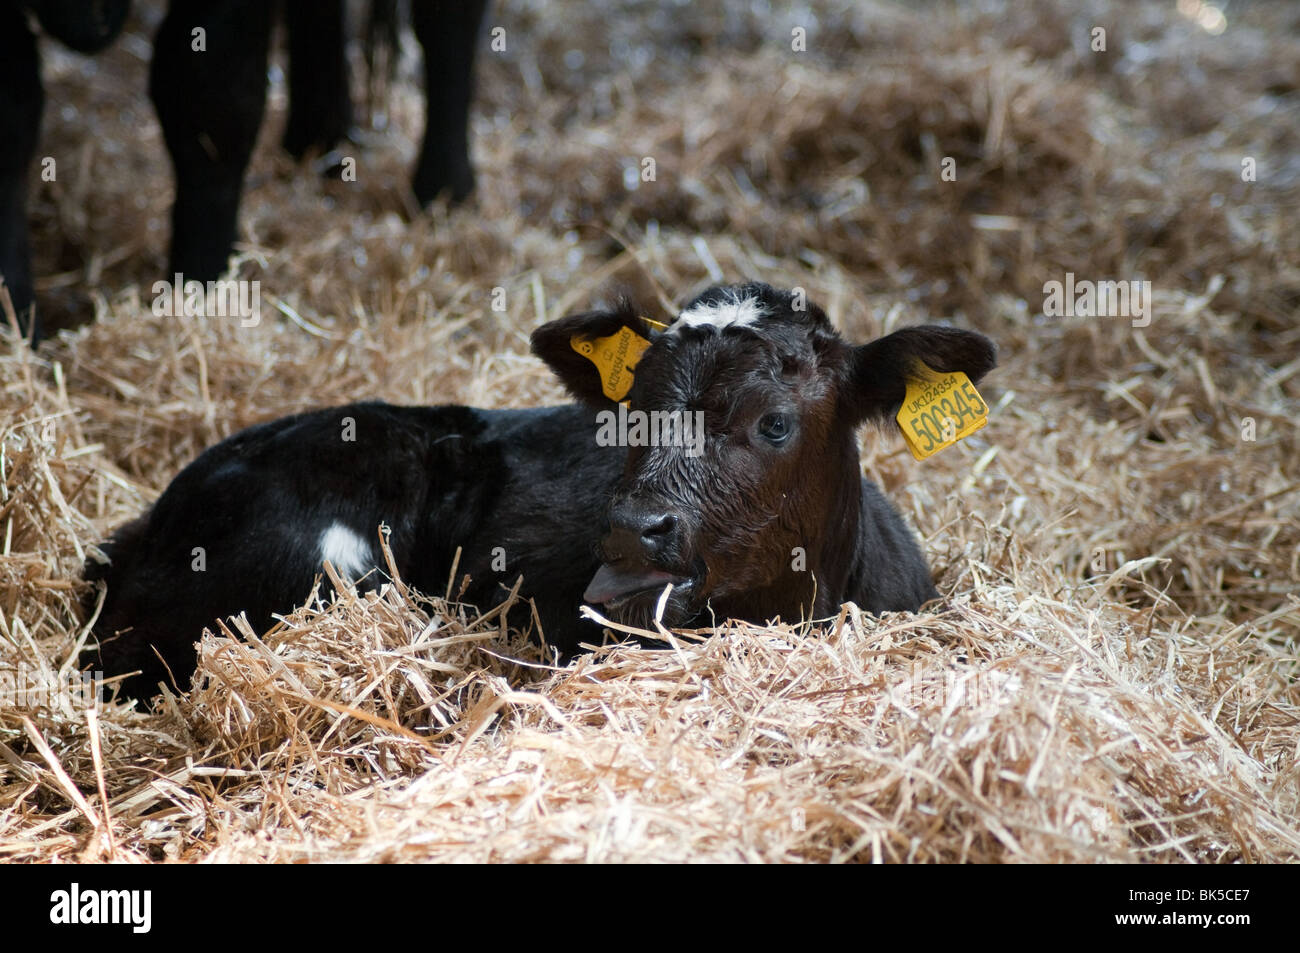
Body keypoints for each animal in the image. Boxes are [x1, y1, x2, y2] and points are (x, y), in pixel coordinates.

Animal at [0, 0, 486, 343]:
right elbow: (14, 111)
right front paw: (17, 327)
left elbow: (216, 92)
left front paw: (203, 295)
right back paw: (319, 140)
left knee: (447, 23)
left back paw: (442, 188)